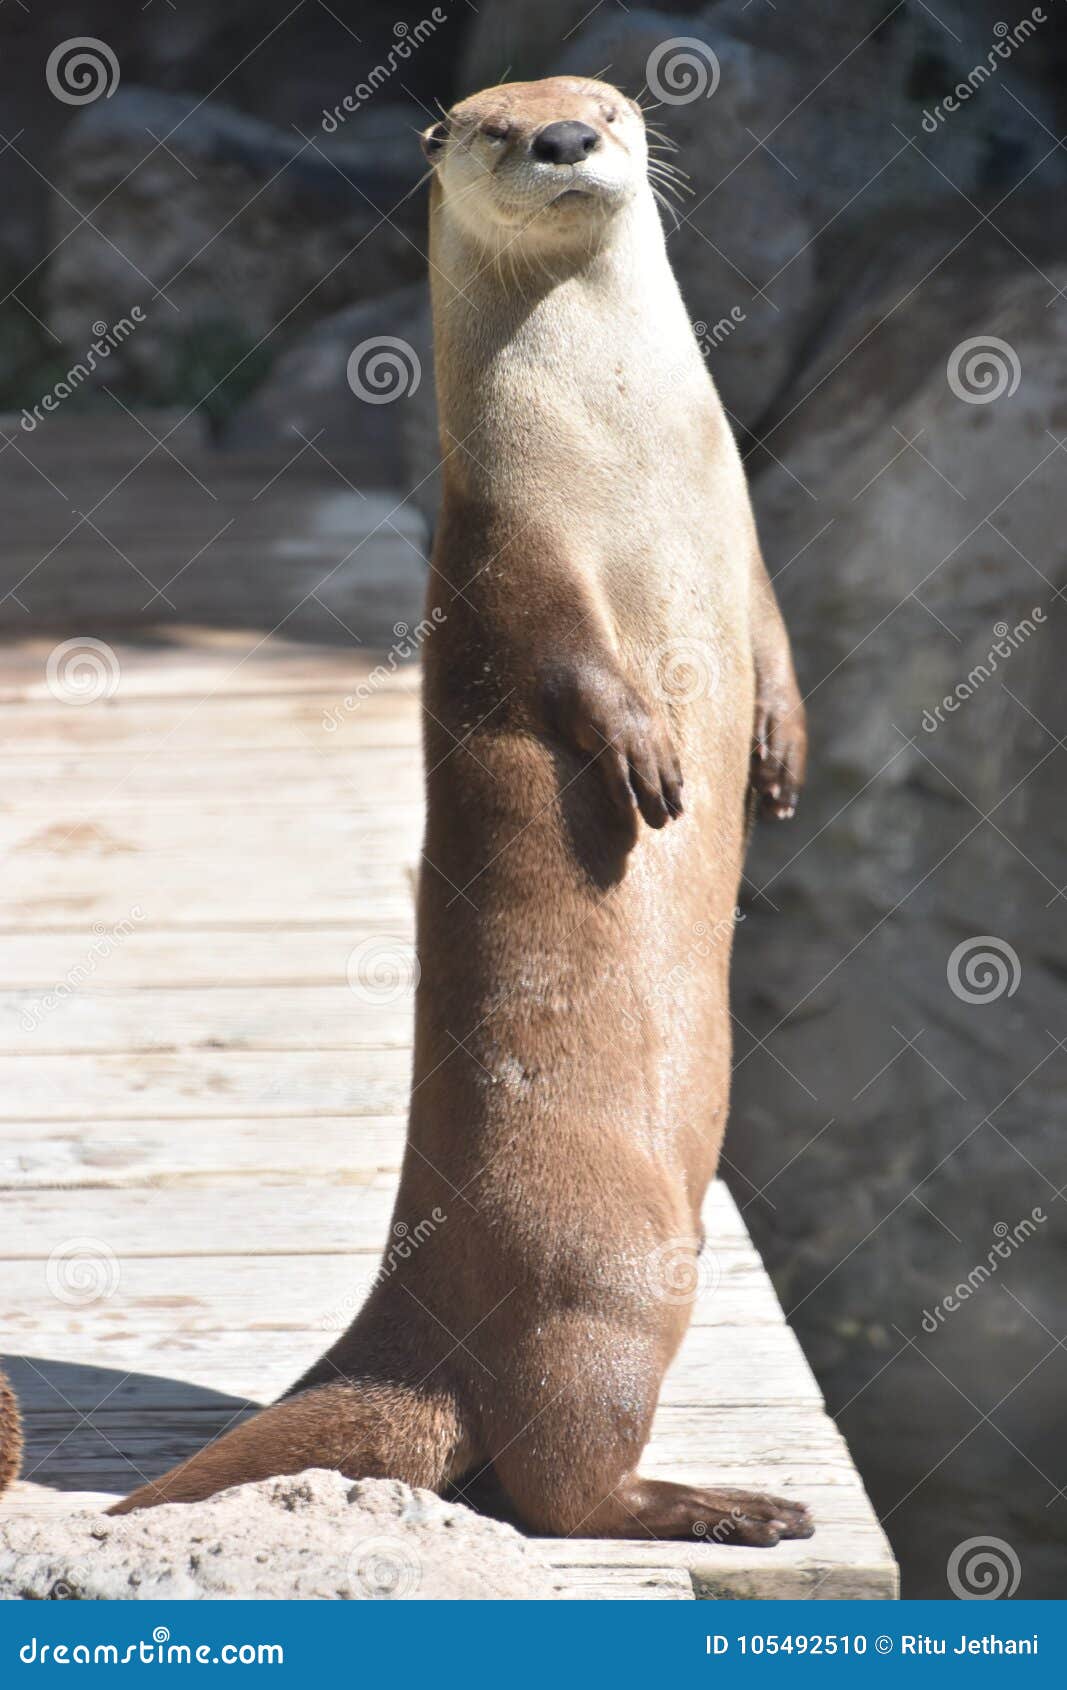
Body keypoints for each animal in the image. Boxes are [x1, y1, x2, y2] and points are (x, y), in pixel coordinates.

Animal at [111, 76, 809, 1546]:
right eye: (494, 129)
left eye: (604, 104)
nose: (564, 140)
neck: (632, 455)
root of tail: (414, 1308)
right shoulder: (507, 554)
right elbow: (564, 664)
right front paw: (651, 760)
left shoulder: (742, 530)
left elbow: (773, 636)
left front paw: (773, 750)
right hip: (612, 1269)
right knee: (554, 1482)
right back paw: (720, 1502)